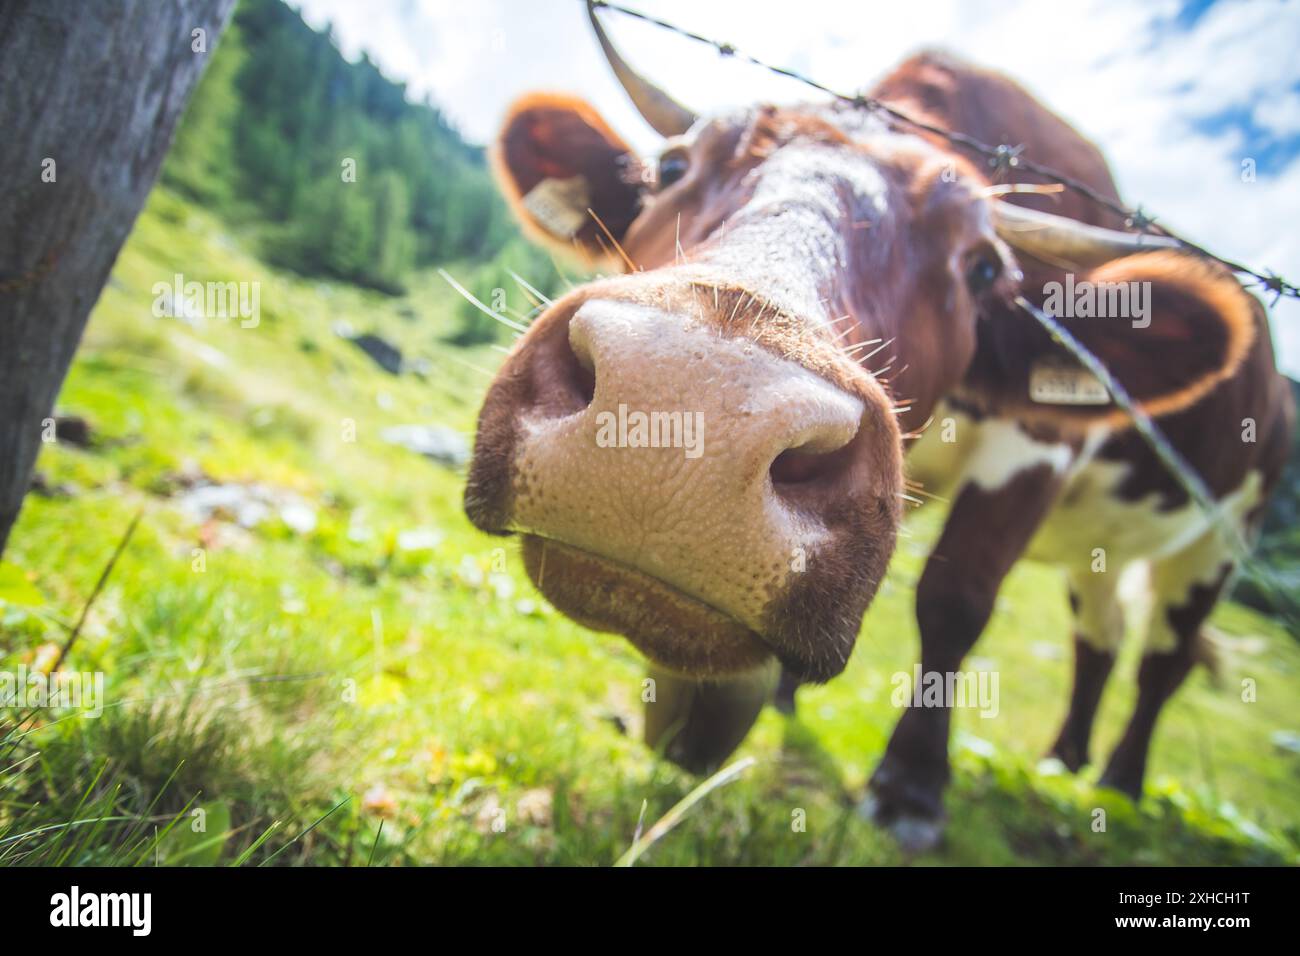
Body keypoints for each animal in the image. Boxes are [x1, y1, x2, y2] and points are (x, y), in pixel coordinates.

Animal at [464, 3, 1295, 851]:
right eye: (670, 167)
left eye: (983, 267)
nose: (687, 401)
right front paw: (772, 702)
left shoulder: (1037, 449)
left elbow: (953, 600)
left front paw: (910, 786)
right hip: (1098, 550)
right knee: (1100, 635)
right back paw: (1064, 759)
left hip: (1221, 538)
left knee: (1165, 658)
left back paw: (1121, 785)